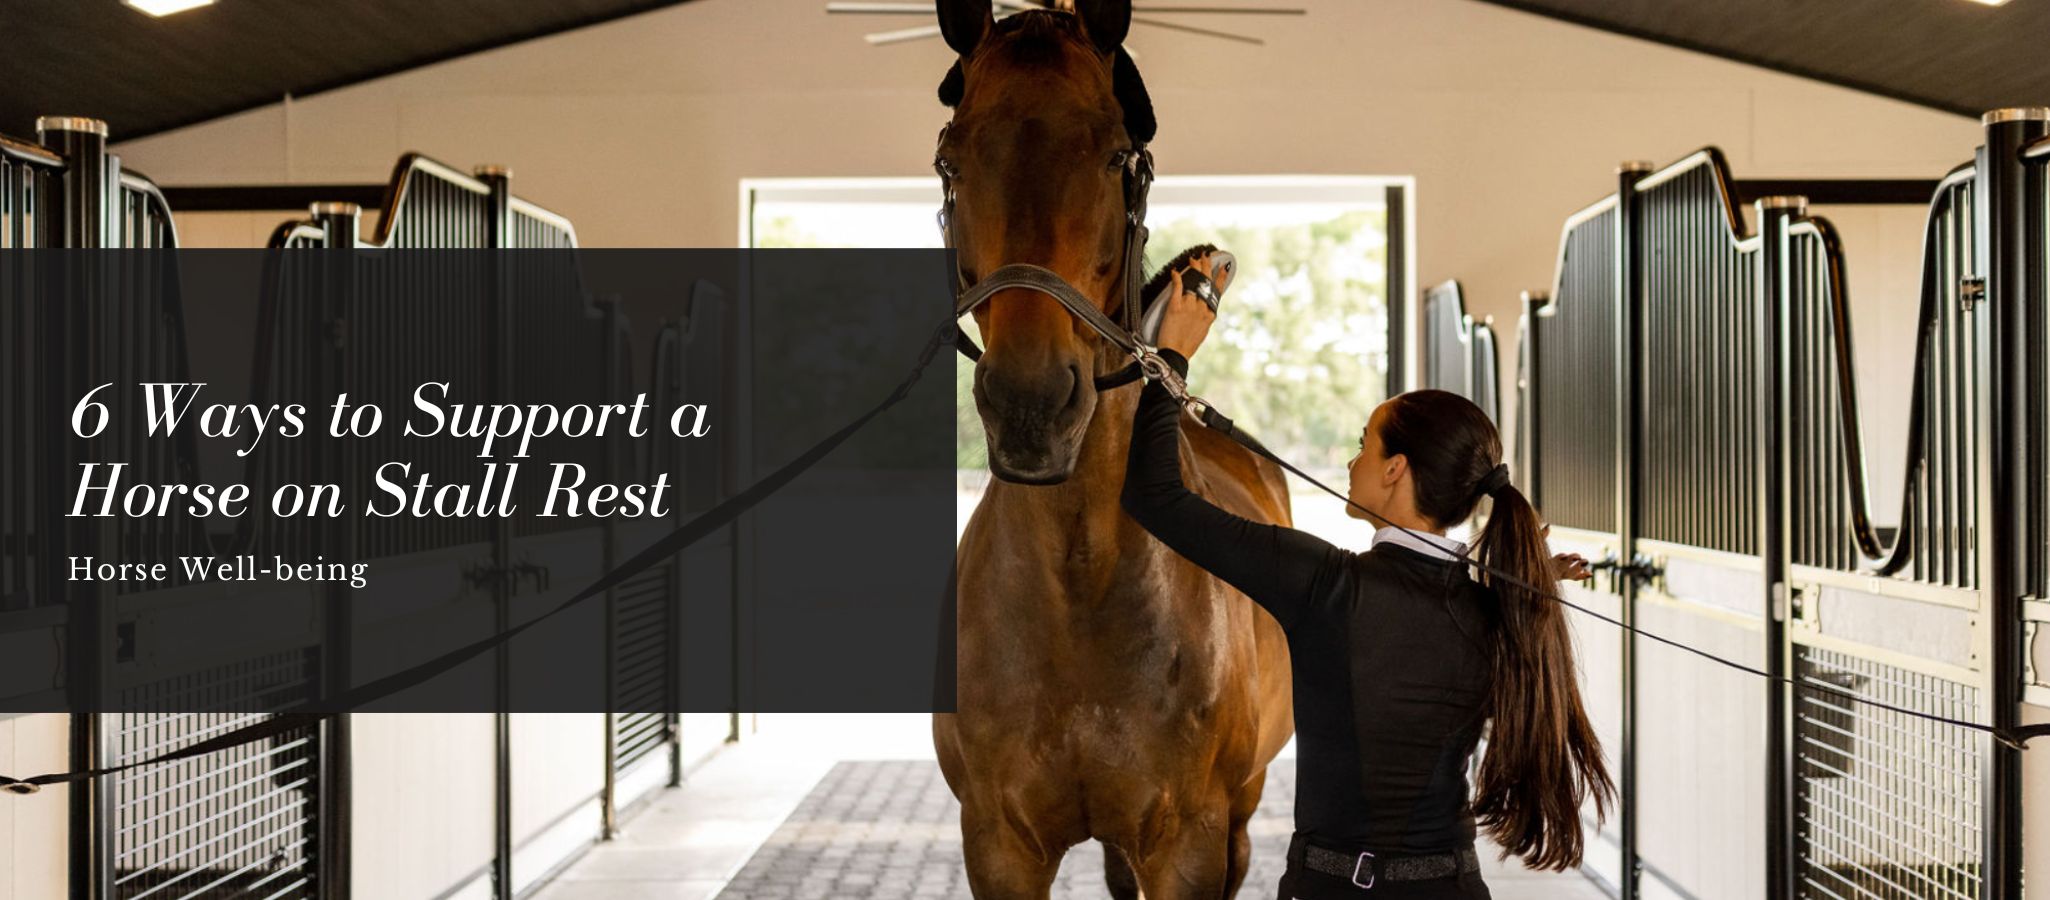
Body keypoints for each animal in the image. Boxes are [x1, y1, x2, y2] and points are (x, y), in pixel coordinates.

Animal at [927, 2, 1296, 897]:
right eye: (952, 160)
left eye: (1114, 153)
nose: (1029, 407)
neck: (1078, 585)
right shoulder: (998, 844)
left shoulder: (1189, 844)